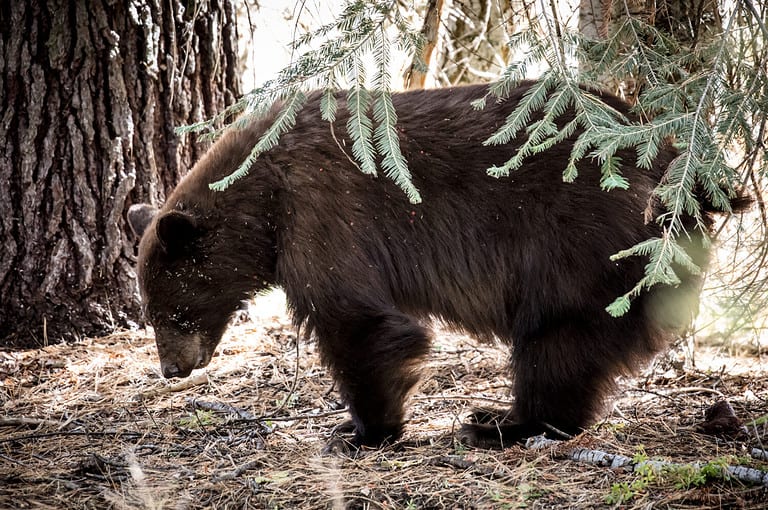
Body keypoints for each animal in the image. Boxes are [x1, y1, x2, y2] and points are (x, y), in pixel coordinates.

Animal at [128, 81, 740, 449]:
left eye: (173, 312)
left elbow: (358, 321)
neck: (262, 193)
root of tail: (685, 176)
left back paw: (505, 424)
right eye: (153, 313)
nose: (172, 369)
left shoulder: (322, 212)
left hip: (582, 244)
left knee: (557, 340)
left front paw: (364, 429)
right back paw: (497, 417)